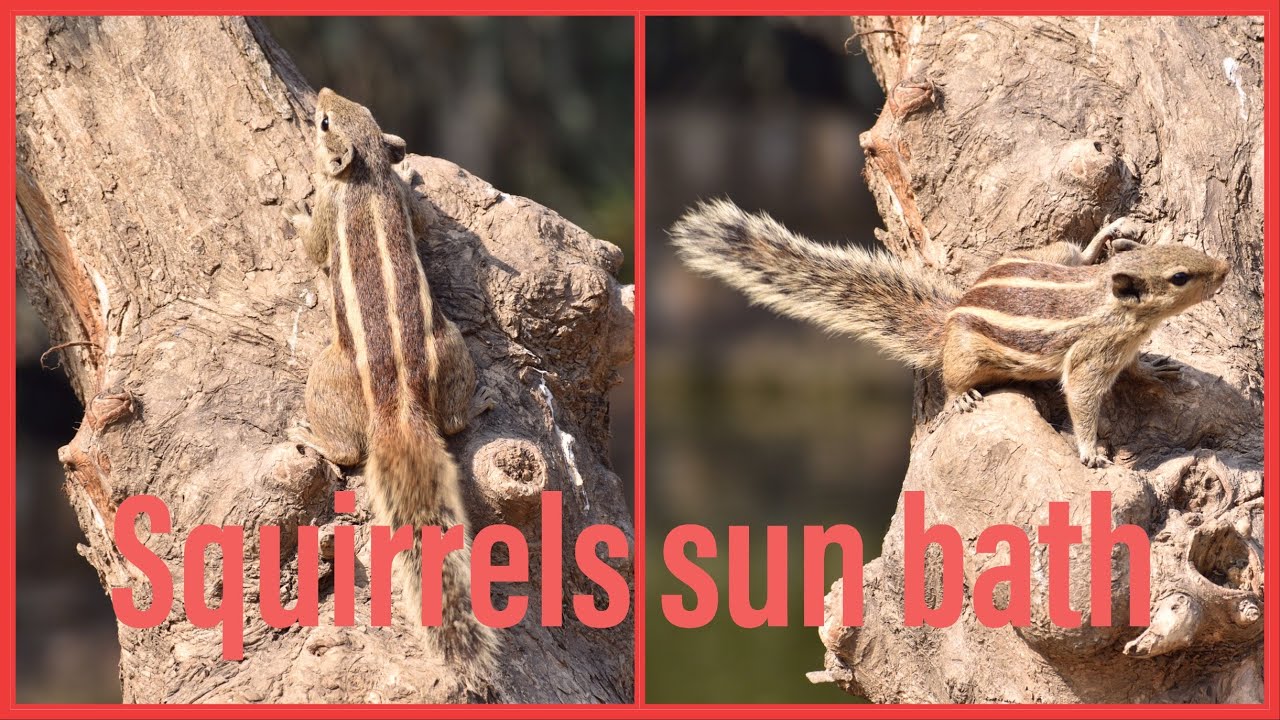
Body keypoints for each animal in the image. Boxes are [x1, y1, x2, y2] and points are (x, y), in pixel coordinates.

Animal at [289, 88, 498, 683]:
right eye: (353, 108)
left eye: (324, 122)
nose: (322, 92)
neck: (368, 177)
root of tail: (399, 406)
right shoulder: (406, 206)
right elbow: (423, 219)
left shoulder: (329, 209)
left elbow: (312, 245)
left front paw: (292, 211)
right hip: (452, 349)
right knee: (451, 419)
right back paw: (476, 402)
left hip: (325, 377)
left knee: (348, 452)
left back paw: (310, 436)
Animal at [670, 199, 1229, 468]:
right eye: (1180, 277)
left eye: (1187, 250)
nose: (1225, 268)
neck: (1118, 309)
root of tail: (955, 310)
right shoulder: (1089, 360)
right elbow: (1083, 398)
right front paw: (1091, 451)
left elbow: (1136, 367)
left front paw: (1154, 366)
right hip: (965, 352)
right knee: (953, 372)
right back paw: (961, 396)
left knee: (1069, 252)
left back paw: (1100, 241)